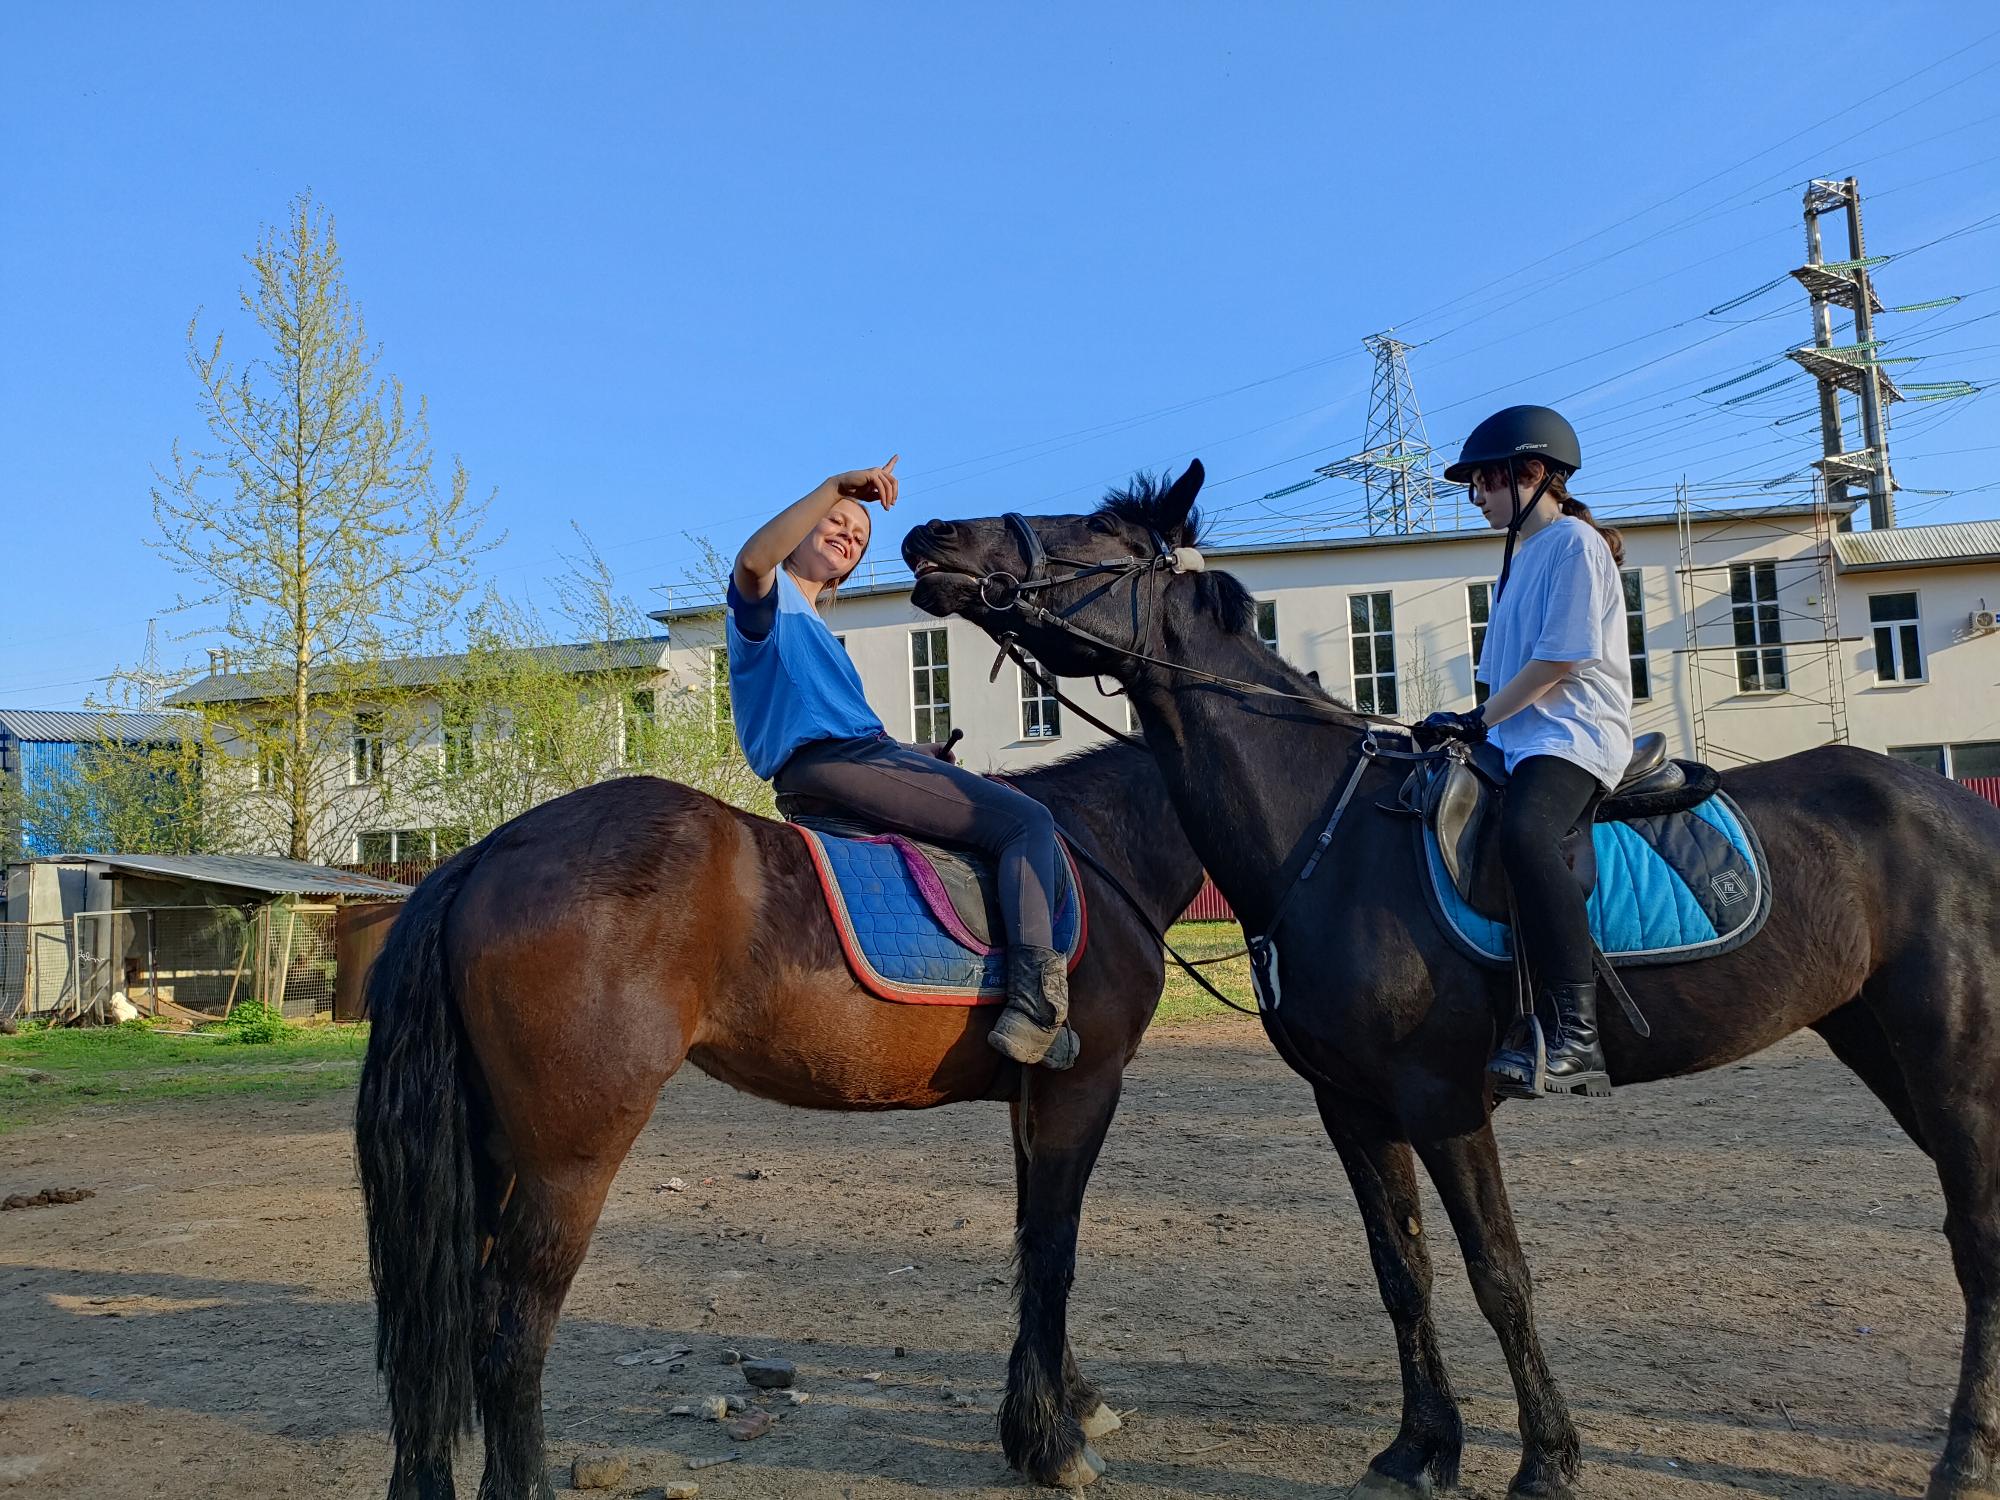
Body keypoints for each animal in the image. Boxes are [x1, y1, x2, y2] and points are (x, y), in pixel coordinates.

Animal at [353, 741, 1205, 1497]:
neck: (1101, 847)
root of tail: (488, 852)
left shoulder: (1038, 1102)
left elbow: (1035, 1242)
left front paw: (1071, 1404)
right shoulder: (1082, 1089)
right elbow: (1057, 1249)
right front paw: (1050, 1444)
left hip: (493, 1152)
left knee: (446, 1327)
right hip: (569, 1160)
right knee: (511, 1330)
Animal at [903, 460, 2000, 1500]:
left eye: (1094, 530)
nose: (929, 537)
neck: (1327, 832)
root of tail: (1957, 802)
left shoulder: (1442, 1099)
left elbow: (1496, 1273)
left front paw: (1546, 1459)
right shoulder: (1352, 1105)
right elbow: (1405, 1269)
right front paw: (1421, 1447)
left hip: (1947, 1059)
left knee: (1977, 1227)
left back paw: (1961, 1458)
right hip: (1874, 1040)